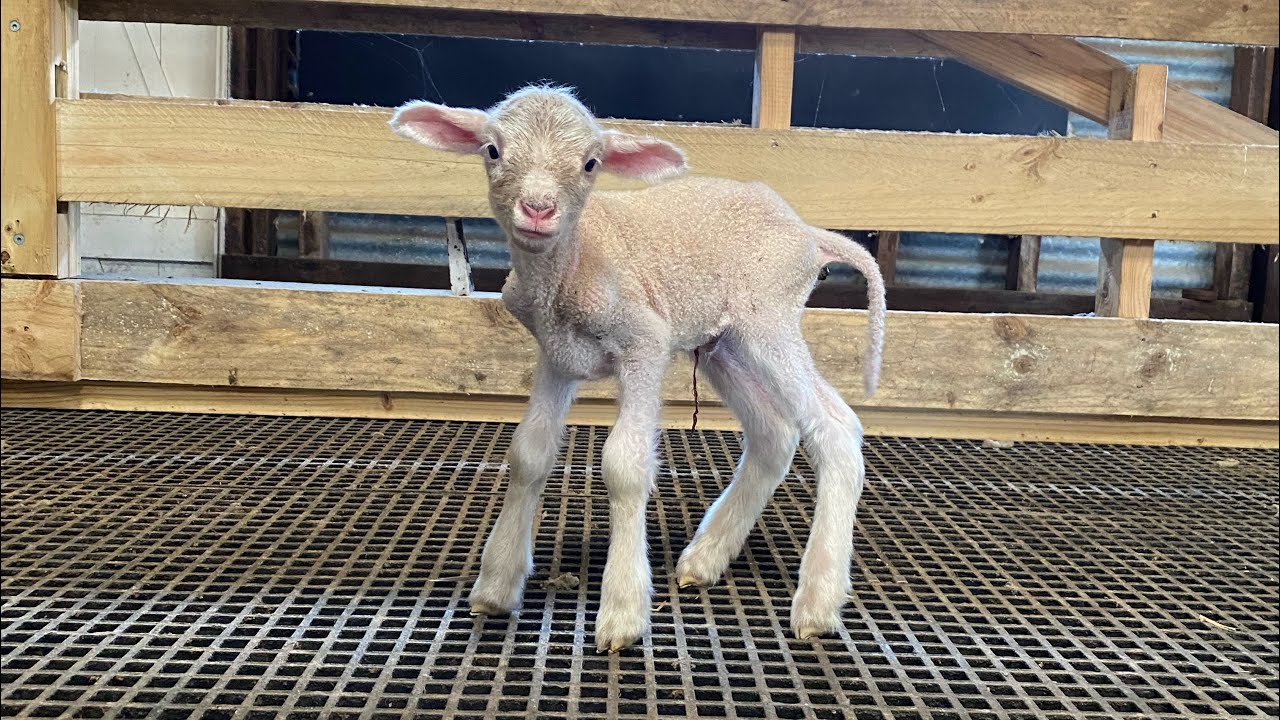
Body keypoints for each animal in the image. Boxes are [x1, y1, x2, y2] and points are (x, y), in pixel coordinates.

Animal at [390, 85, 886, 653]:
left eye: (590, 163)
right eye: (492, 150)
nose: (538, 209)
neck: (573, 266)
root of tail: (806, 230)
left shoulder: (645, 343)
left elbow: (624, 465)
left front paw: (623, 611)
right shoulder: (555, 357)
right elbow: (528, 454)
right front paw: (495, 584)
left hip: (769, 317)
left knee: (835, 426)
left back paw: (818, 600)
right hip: (725, 341)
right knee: (773, 433)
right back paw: (704, 559)